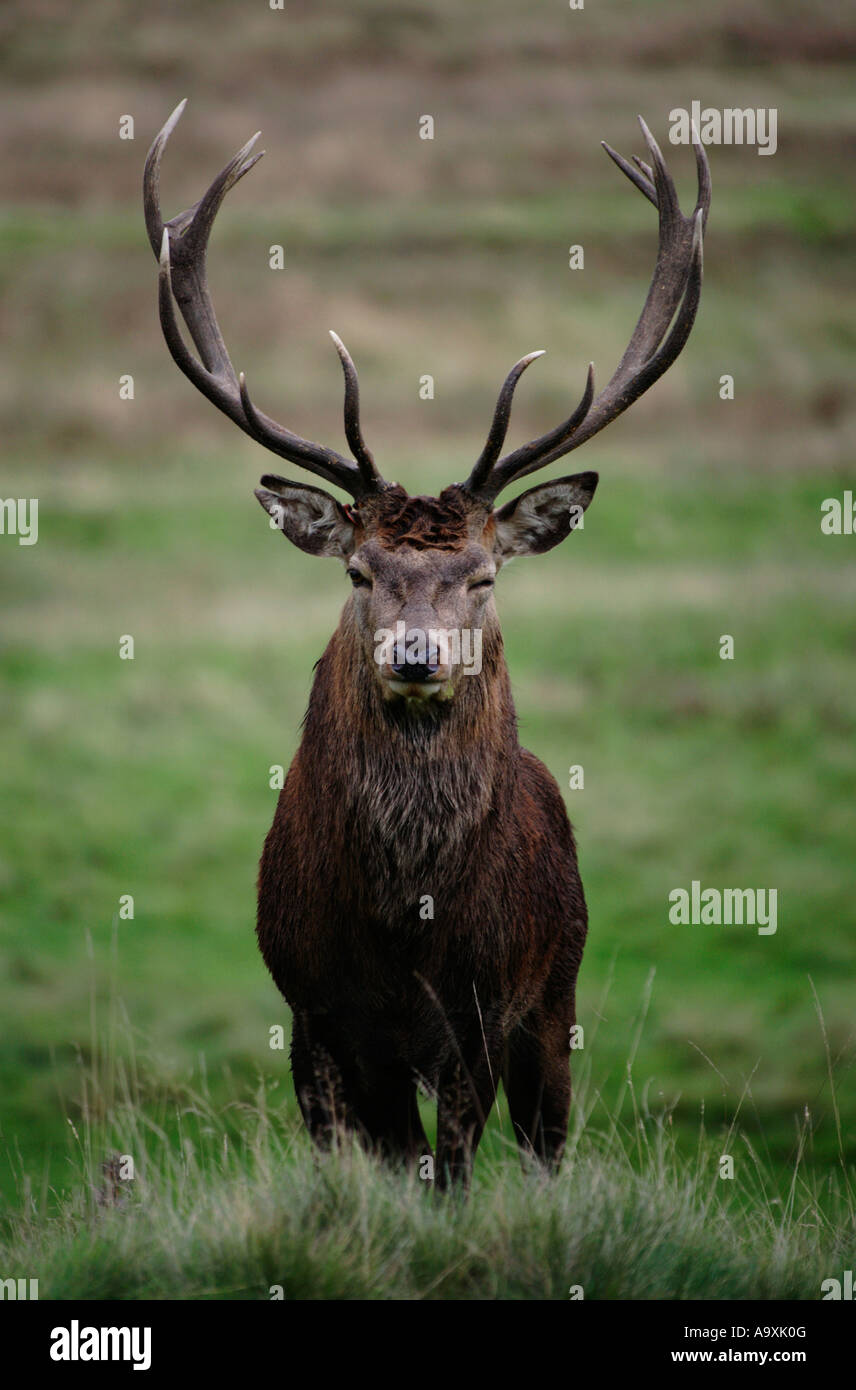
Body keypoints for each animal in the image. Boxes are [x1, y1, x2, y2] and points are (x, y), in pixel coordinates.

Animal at [144, 101, 710, 1188]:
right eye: (359, 572)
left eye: (483, 576)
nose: (415, 659)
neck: (405, 932)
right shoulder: (315, 1014)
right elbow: (377, 1163)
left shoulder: (485, 1013)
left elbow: (449, 1171)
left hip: (559, 995)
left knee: (545, 1144)